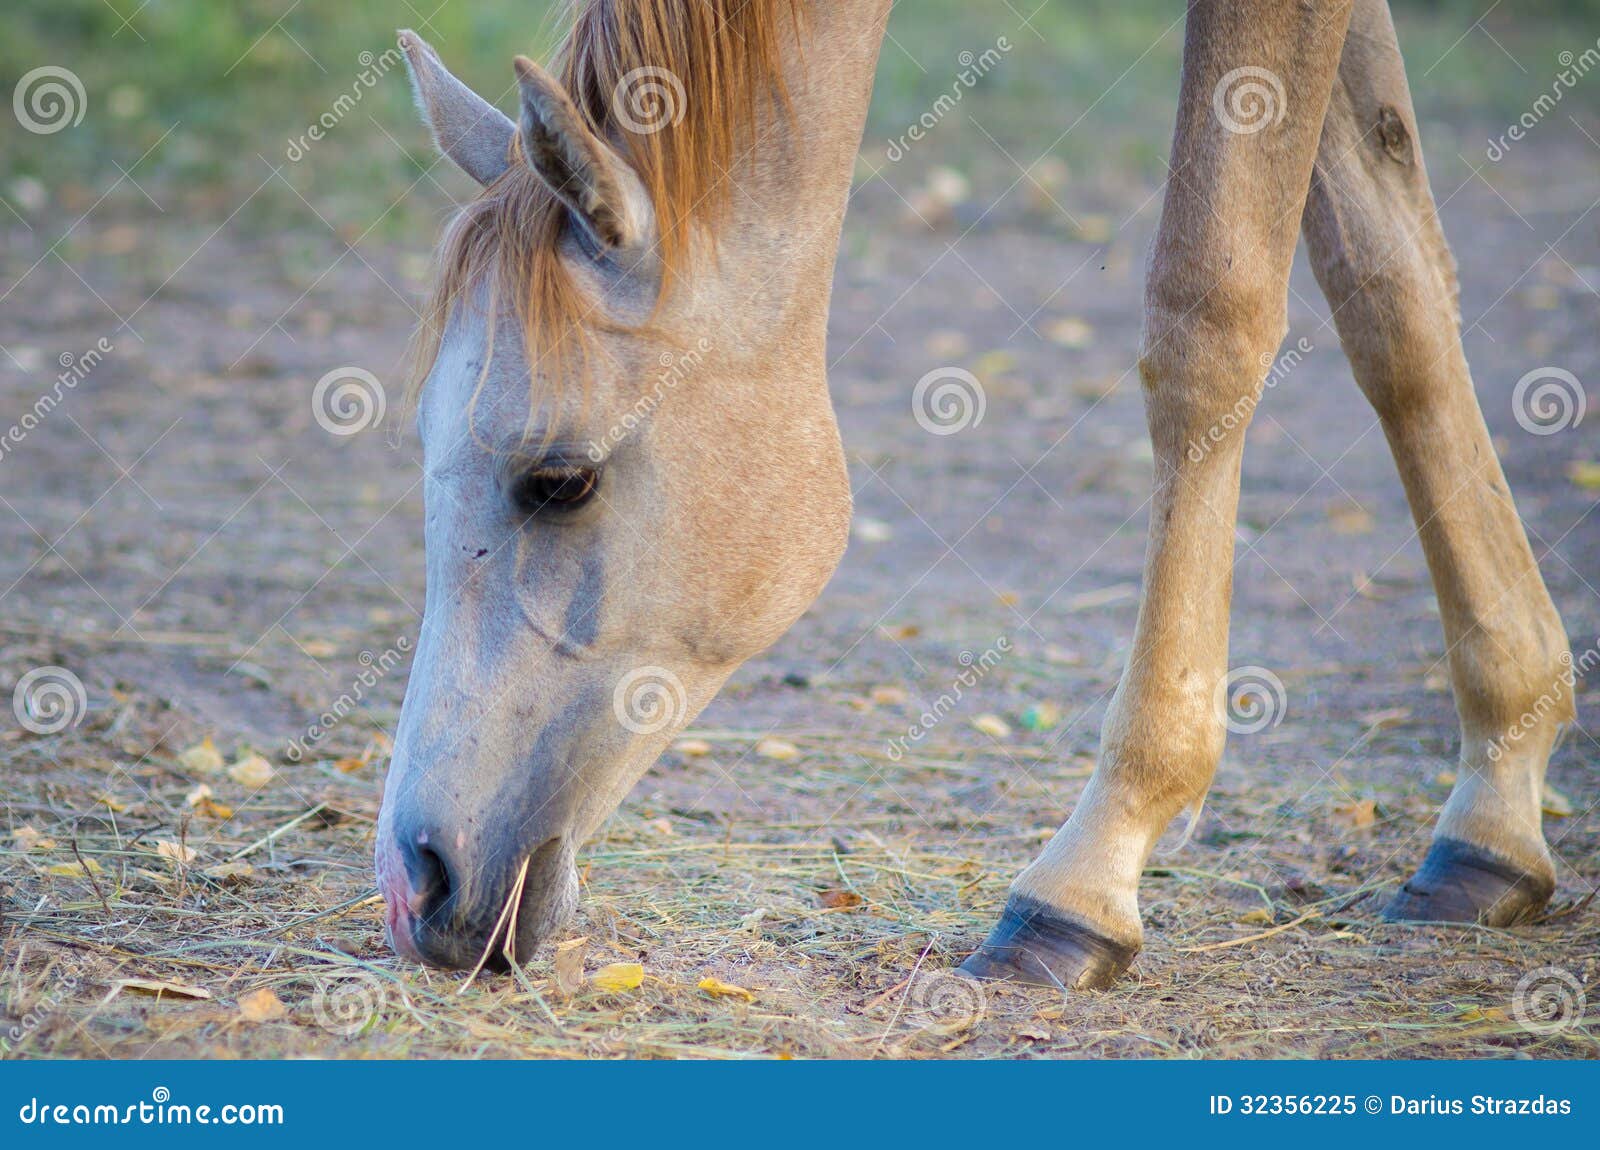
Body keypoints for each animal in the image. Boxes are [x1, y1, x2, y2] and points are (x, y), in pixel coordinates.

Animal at [374, 0, 1575, 988]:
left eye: (559, 481)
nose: (416, 878)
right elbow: (1390, 281)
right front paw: (1499, 794)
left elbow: (1210, 313)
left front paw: (1091, 871)